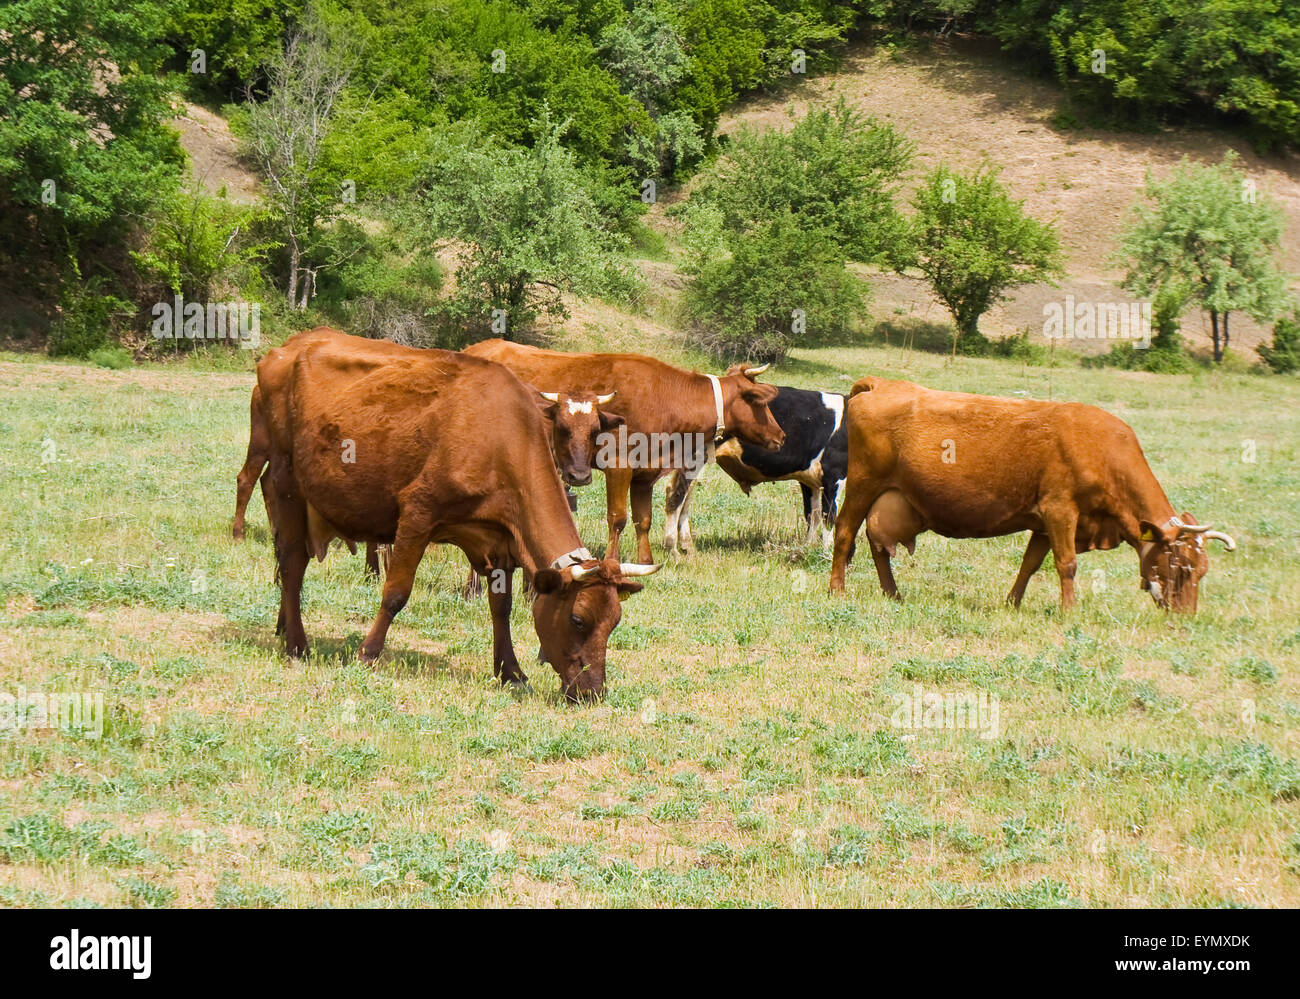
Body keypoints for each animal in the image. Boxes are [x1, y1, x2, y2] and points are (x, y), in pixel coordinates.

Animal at [254, 328, 657, 700]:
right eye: (578, 619)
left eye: (614, 623)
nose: (593, 691)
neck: (498, 437)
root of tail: (289, 347)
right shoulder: (418, 514)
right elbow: (396, 593)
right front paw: (368, 653)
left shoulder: (498, 539)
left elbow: (501, 606)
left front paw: (510, 670)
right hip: (287, 482)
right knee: (292, 564)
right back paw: (296, 643)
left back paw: (283, 625)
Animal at [462, 339, 784, 563]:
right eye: (759, 402)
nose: (781, 436)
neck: (667, 399)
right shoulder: (617, 465)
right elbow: (617, 517)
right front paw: (612, 560)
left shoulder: (645, 473)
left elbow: (644, 520)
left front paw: (646, 561)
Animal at [662, 387, 848, 555]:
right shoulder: (834, 476)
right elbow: (829, 516)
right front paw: (827, 551)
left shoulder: (809, 481)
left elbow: (812, 515)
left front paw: (808, 547)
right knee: (676, 494)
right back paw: (672, 549)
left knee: (686, 498)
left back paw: (688, 547)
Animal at [828, 377, 1236, 613]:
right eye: (1181, 567)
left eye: (1202, 570)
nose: (1185, 617)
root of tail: (882, 383)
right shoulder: (1060, 510)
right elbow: (1066, 564)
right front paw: (1070, 613)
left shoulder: (1044, 523)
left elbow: (1031, 563)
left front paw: (1012, 604)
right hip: (862, 485)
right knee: (845, 534)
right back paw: (838, 591)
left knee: (878, 545)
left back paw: (892, 594)